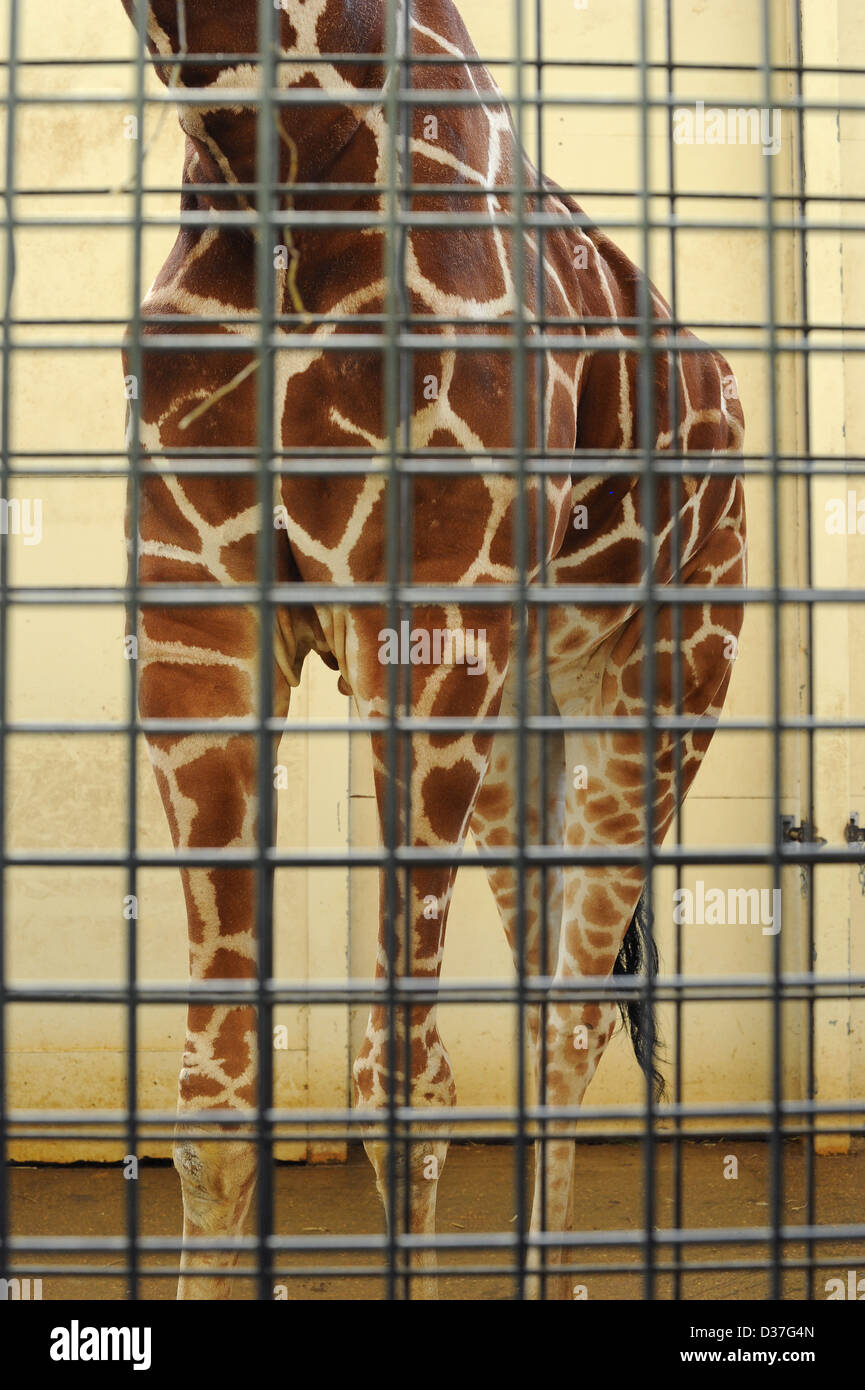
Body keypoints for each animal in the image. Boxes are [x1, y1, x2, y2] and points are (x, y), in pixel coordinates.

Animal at [120, 0, 746, 1299]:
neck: (276, 163)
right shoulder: (195, 626)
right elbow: (213, 1099)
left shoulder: (424, 621)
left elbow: (401, 1086)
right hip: (520, 736)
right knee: (544, 1003)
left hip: (669, 691)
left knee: (572, 1023)